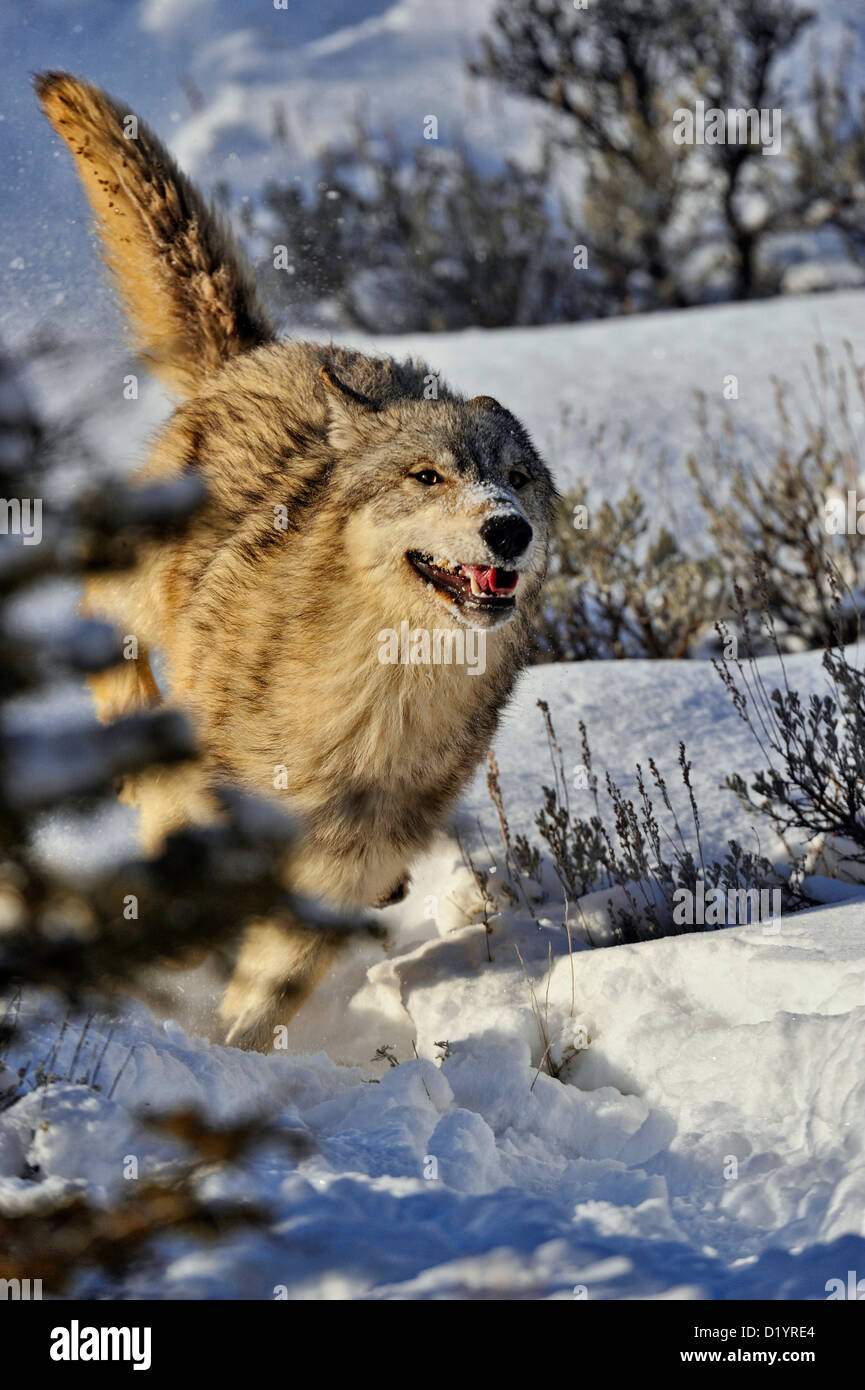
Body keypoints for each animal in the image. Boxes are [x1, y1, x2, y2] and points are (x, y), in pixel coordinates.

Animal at [36, 72, 556, 1049]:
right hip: (139, 598)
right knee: (101, 642)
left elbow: (268, 988)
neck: (376, 697)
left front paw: (236, 1052)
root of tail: (266, 353)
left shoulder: (348, 857)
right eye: (428, 475)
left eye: (515, 477)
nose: (509, 531)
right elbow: (193, 846)